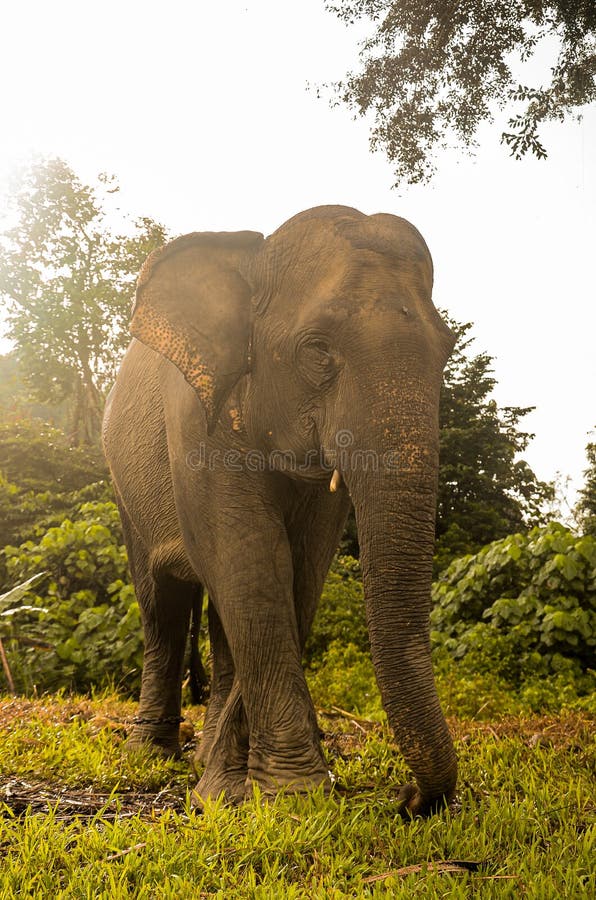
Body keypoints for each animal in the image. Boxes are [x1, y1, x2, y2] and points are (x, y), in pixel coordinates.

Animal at [102, 204, 457, 815]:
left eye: (448, 349)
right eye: (317, 350)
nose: (408, 797)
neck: (253, 259)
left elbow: (300, 567)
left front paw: (232, 786)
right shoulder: (196, 417)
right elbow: (250, 557)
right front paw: (285, 795)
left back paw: (201, 757)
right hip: (124, 486)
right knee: (162, 605)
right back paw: (151, 755)